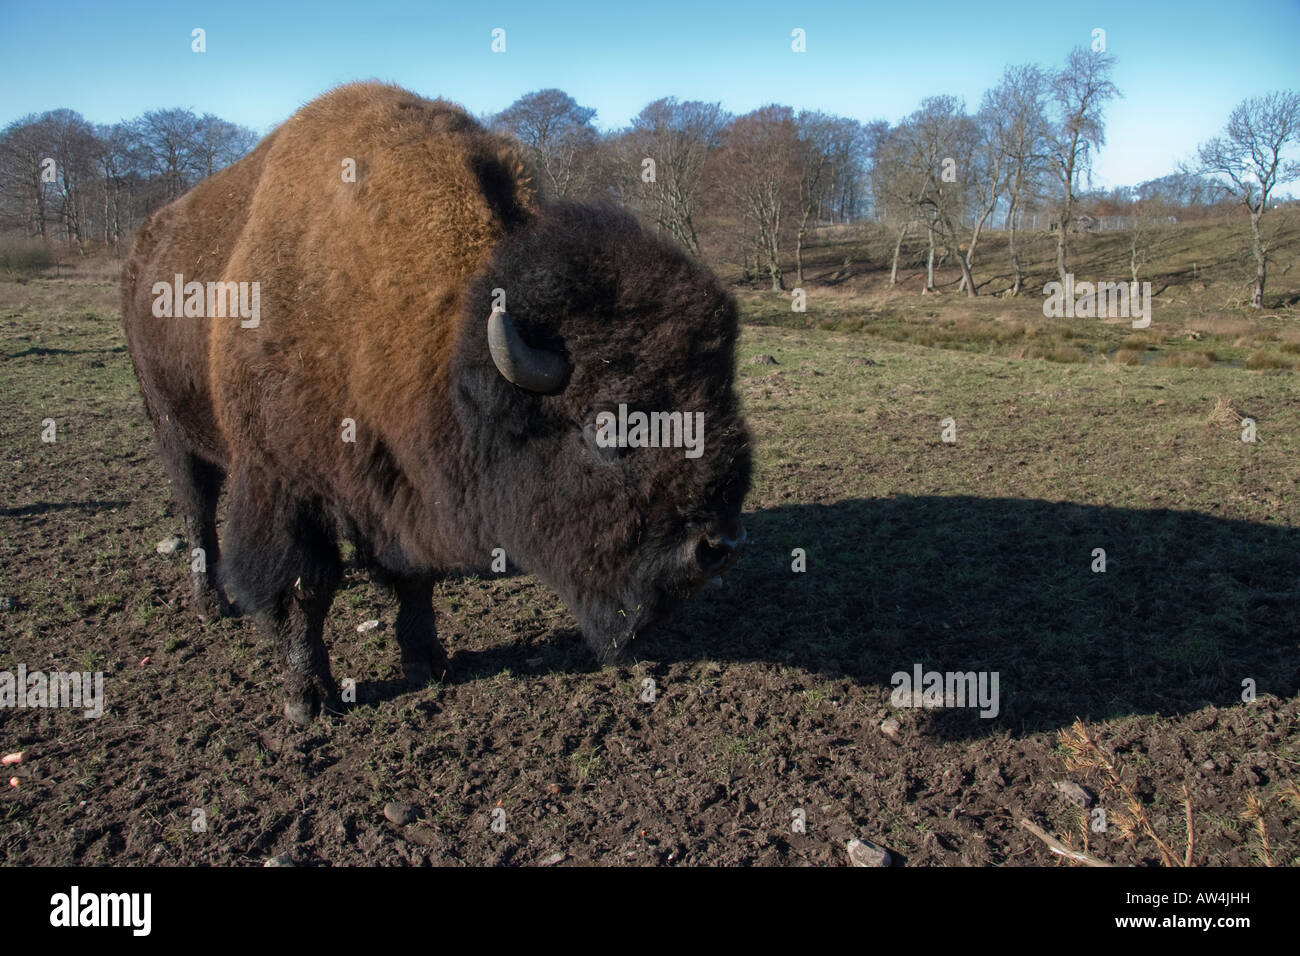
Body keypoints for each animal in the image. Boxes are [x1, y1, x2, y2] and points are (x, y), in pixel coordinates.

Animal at [122, 82, 752, 723]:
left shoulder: (404, 484)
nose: (716, 548)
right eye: (607, 429)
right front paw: (307, 697)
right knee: (197, 509)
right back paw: (210, 603)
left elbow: (413, 578)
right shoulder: (282, 485)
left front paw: (428, 663)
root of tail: (144, 241)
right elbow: (301, 588)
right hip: (172, 428)